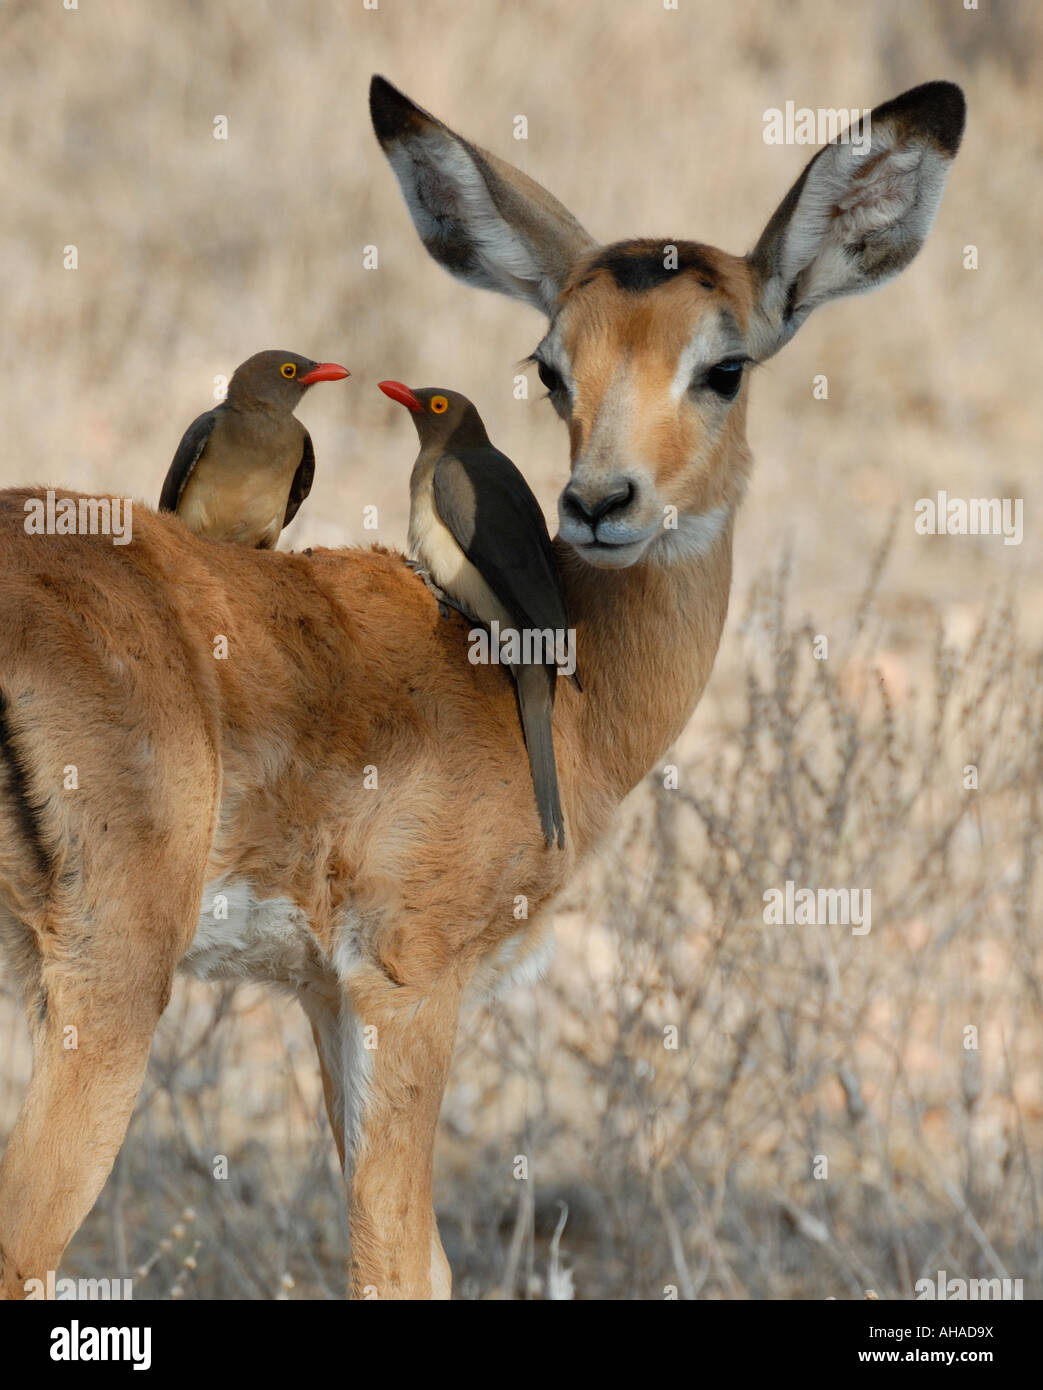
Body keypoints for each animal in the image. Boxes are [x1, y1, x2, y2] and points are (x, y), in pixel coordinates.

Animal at [0, 75, 964, 1300]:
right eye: (551, 366)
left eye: (725, 363)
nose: (599, 503)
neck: (575, 695)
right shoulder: (405, 979)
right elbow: (394, 1263)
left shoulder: (325, 992)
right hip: (108, 994)